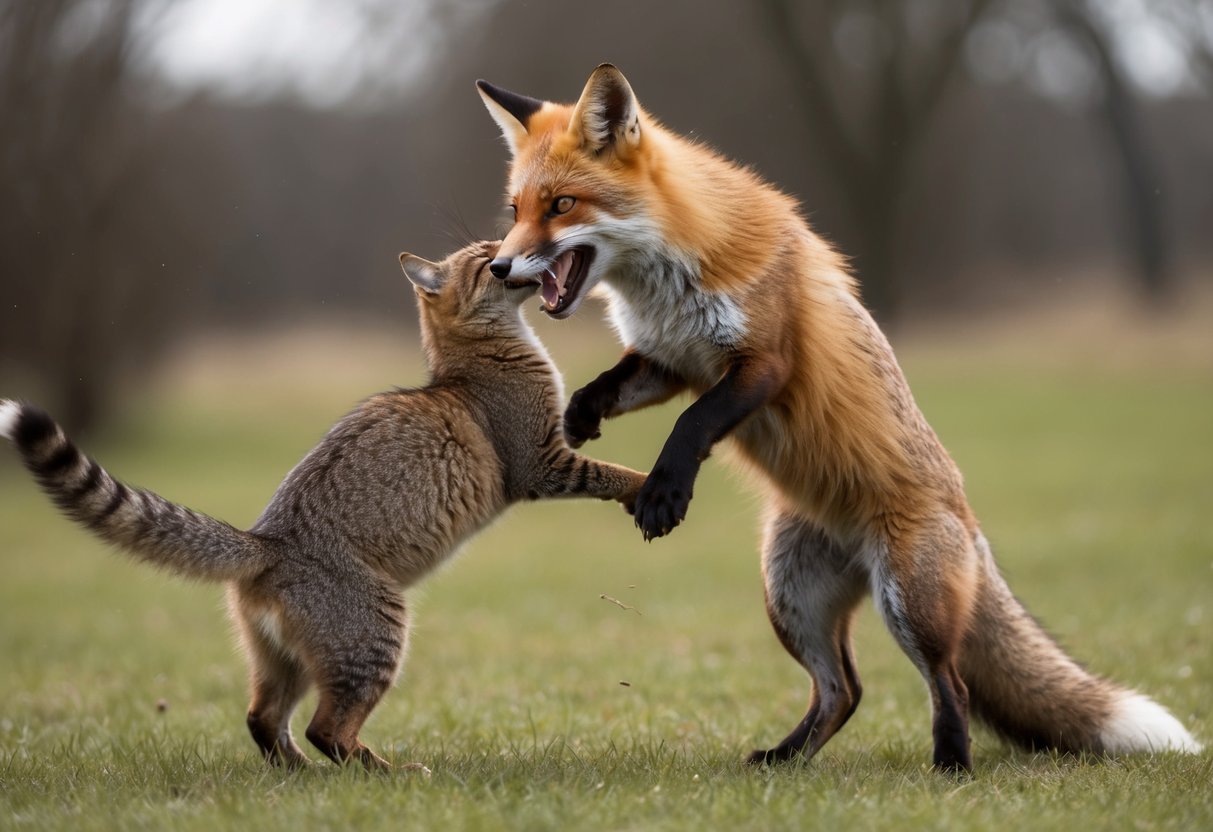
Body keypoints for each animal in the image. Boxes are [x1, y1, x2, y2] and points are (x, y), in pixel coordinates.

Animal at [0, 240, 647, 770]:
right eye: (488, 257)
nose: (508, 252)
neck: (469, 366)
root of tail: (265, 542)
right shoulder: (541, 464)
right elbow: (613, 474)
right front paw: (648, 487)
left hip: (283, 661)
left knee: (264, 719)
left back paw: (298, 776)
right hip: (373, 637)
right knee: (326, 730)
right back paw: (384, 773)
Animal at [475, 64, 1202, 772]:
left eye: (561, 205)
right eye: (515, 210)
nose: (502, 265)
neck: (665, 276)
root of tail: (969, 524)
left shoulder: (764, 363)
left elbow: (693, 425)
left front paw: (664, 492)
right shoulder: (671, 359)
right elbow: (605, 389)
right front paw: (575, 424)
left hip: (909, 604)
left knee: (950, 684)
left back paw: (951, 766)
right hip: (790, 599)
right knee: (843, 691)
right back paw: (784, 759)